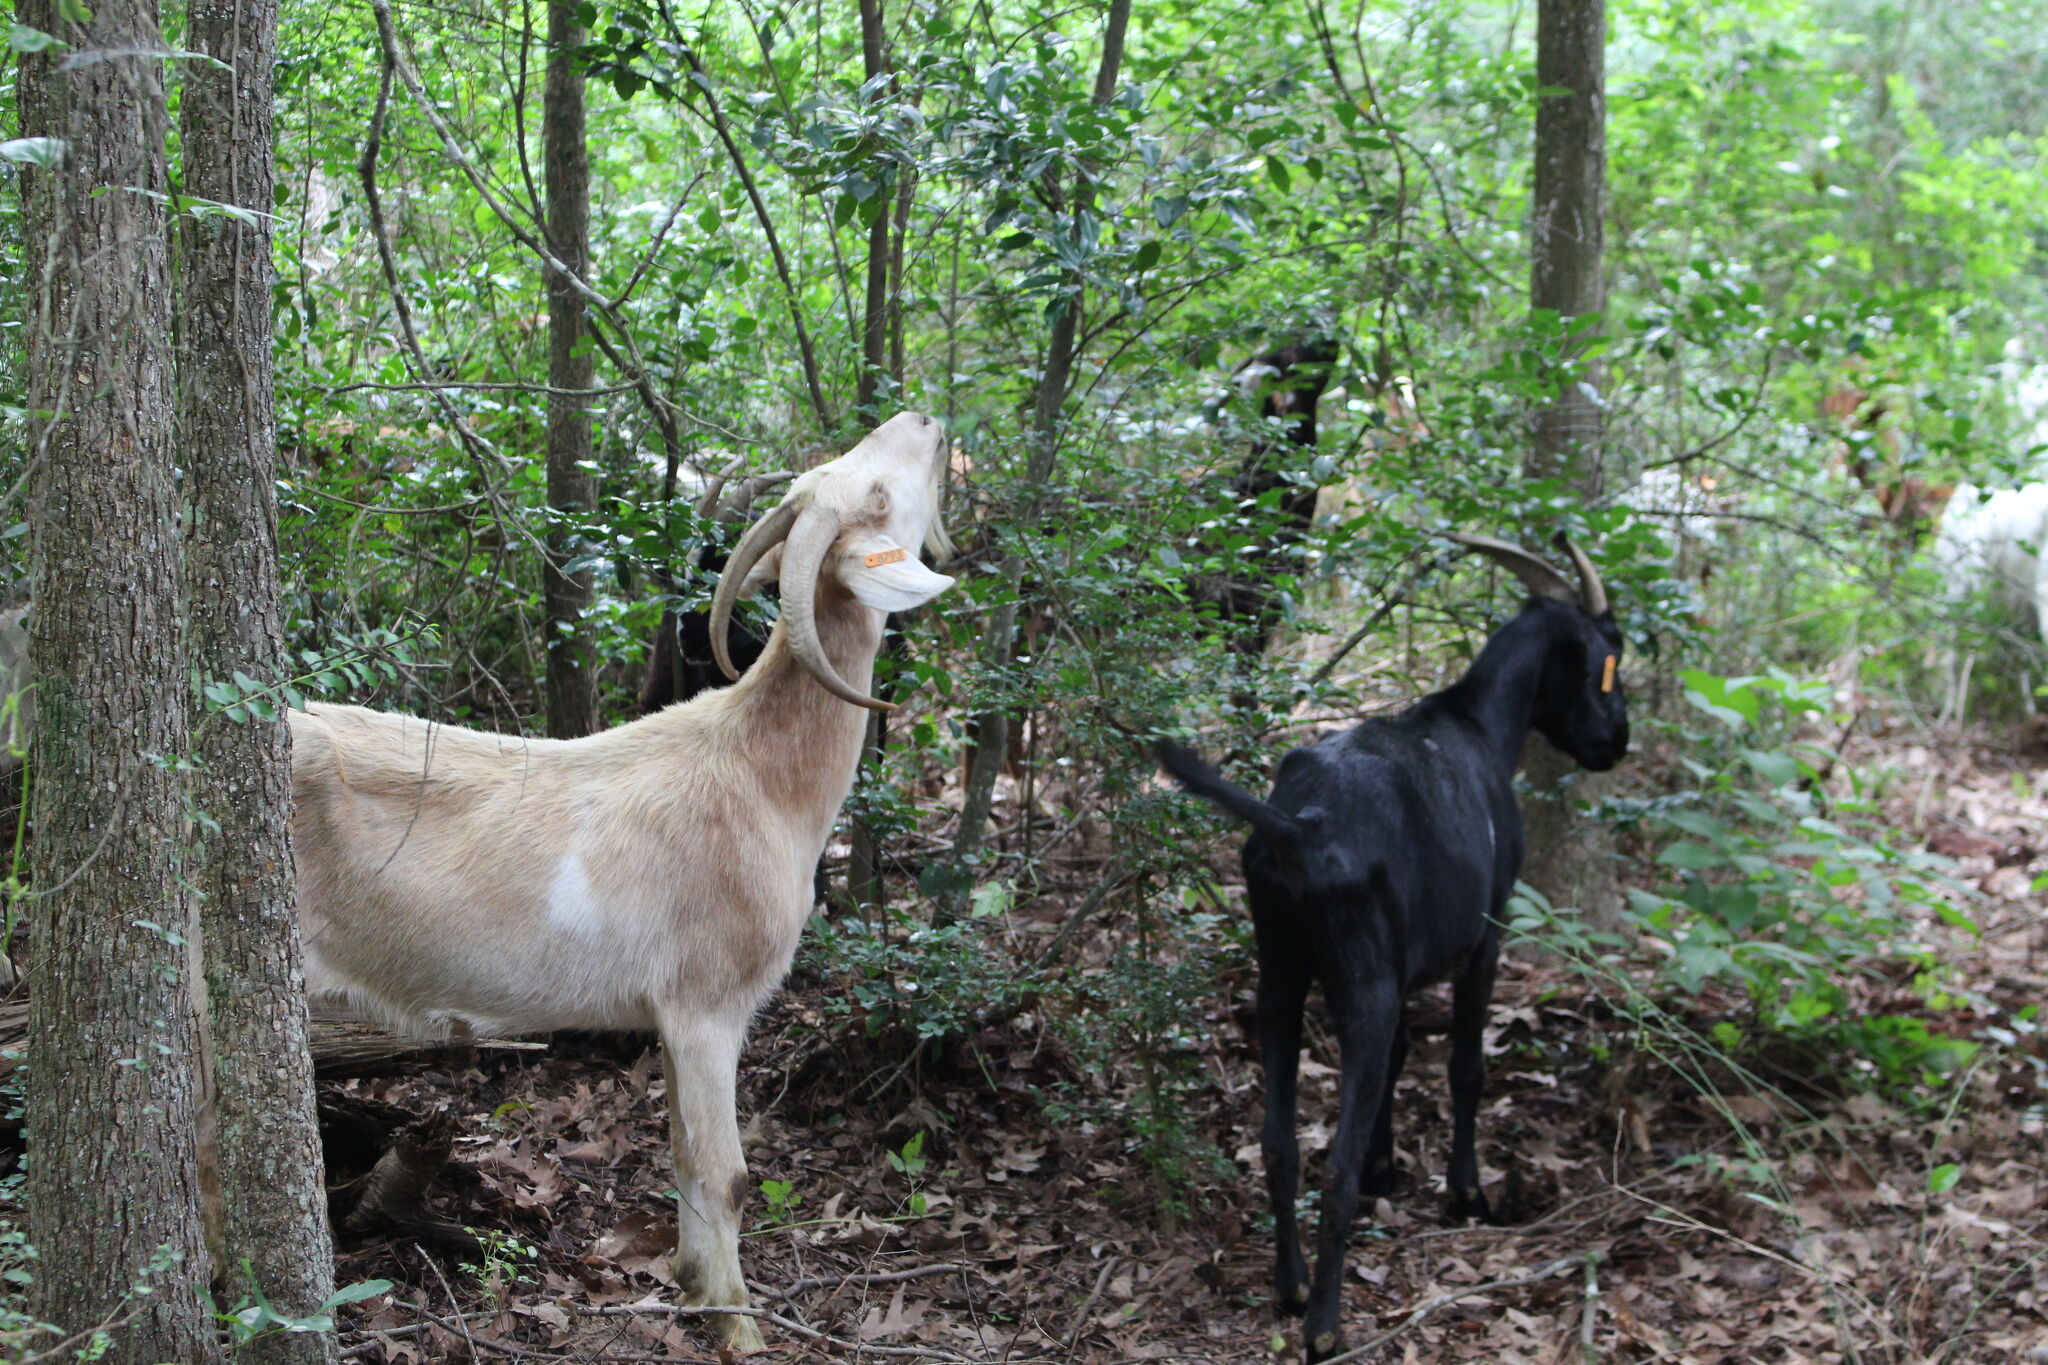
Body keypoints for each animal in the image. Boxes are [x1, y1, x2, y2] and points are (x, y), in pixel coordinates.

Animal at [291, 411, 955, 1351]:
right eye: (877, 496)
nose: (924, 421)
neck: (756, 774)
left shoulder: (671, 1020)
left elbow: (682, 1159)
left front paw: (692, 1286)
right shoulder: (709, 1006)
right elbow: (726, 1173)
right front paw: (740, 1331)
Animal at [1156, 533, 1628, 1363]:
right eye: (1614, 651)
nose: (1620, 739)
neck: (1478, 724)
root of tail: (1305, 824)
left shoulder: (1402, 961)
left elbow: (1404, 1055)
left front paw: (1387, 1162)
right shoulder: (1486, 934)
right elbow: (1466, 1064)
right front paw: (1466, 1190)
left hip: (1281, 970)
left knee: (1279, 1141)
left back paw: (1293, 1285)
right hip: (1360, 977)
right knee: (1330, 1161)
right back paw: (1324, 1323)